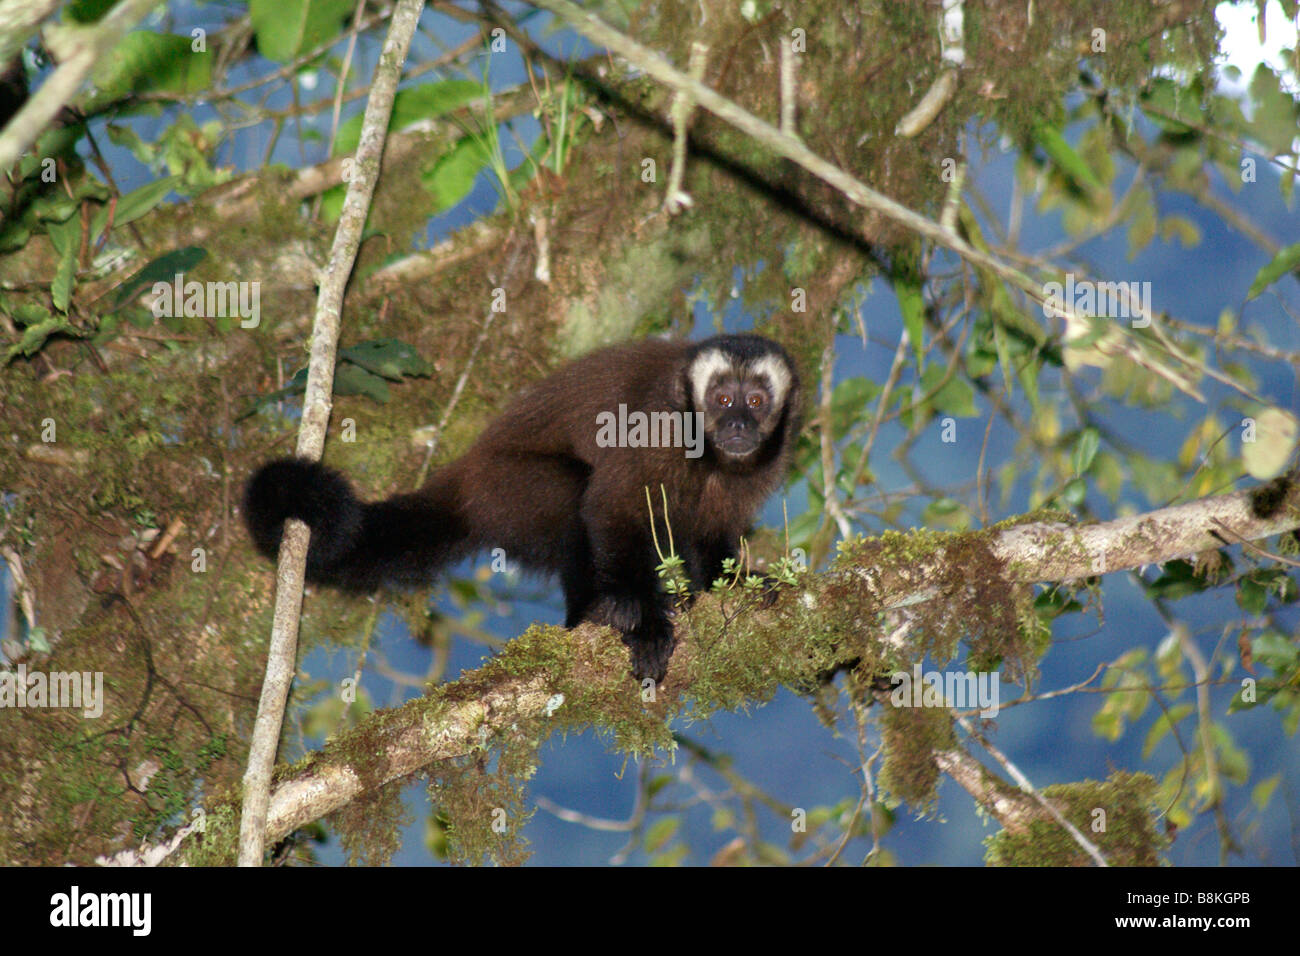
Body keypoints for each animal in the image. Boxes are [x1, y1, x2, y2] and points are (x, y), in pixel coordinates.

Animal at [243, 333, 801, 683]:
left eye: (755, 402)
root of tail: (468, 477)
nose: (738, 426)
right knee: (574, 493)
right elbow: (610, 507)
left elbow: (713, 535)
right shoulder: (657, 426)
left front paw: (733, 585)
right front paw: (641, 618)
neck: (705, 451)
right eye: (722, 399)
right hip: (507, 491)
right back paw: (591, 611)